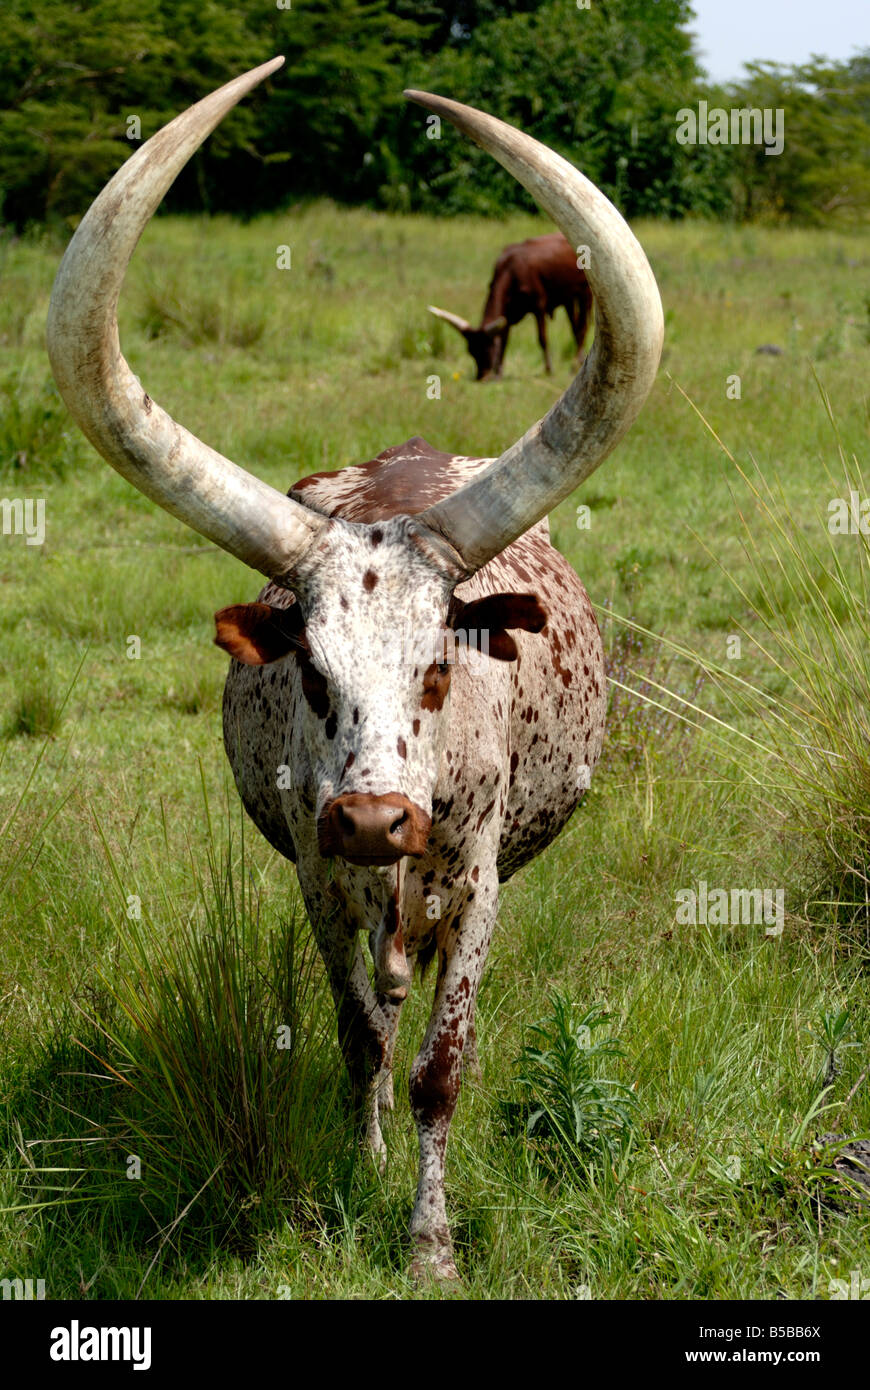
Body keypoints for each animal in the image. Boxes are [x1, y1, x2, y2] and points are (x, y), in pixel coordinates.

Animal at [428, 233, 593, 380]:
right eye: (471, 351)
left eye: (488, 348)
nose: (482, 377)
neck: (511, 270)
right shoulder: (508, 312)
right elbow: (504, 339)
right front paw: (499, 372)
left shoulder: (539, 305)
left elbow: (542, 338)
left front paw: (548, 369)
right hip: (568, 298)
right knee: (575, 328)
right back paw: (578, 362)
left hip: (585, 294)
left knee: (583, 328)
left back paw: (574, 365)